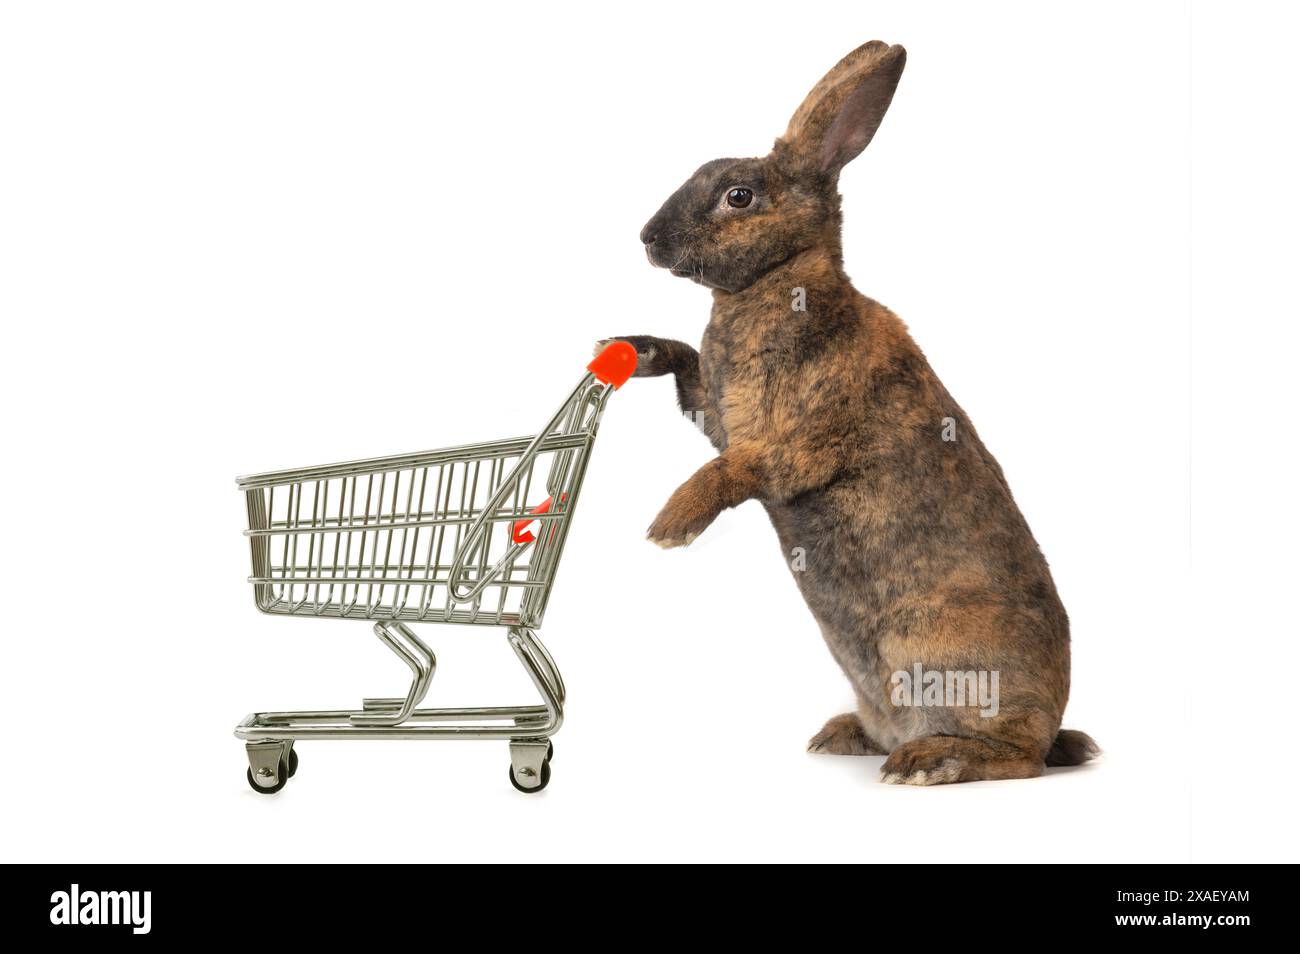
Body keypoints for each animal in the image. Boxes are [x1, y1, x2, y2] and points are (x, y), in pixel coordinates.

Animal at [599, 40, 1097, 784]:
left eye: (739, 195)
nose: (648, 237)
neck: (780, 283)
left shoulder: (802, 440)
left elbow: (732, 470)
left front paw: (670, 526)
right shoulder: (722, 418)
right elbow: (691, 375)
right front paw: (632, 349)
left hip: (953, 666)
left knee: (1019, 761)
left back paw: (928, 760)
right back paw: (845, 736)